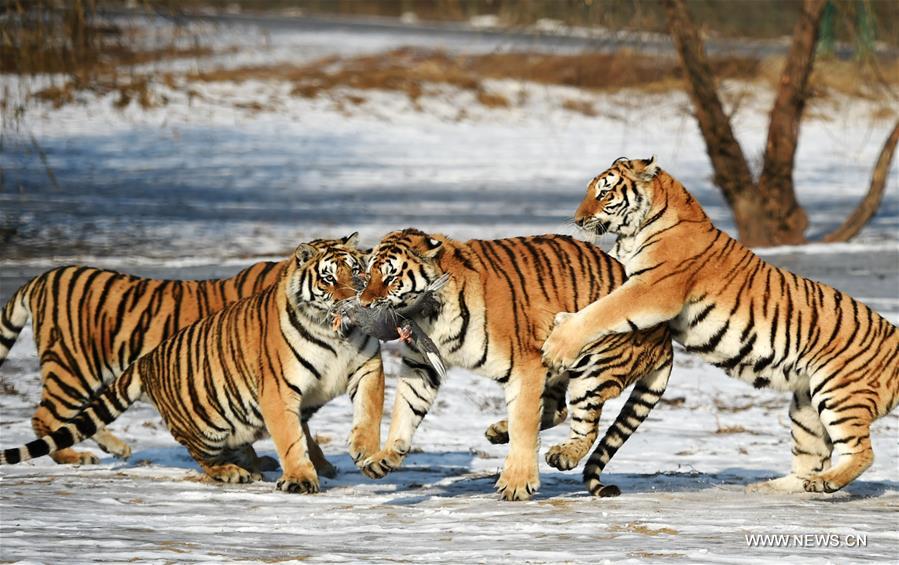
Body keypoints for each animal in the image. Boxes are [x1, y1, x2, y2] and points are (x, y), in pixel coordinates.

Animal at [1, 237, 384, 493]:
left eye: (359, 272)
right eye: (329, 278)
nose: (356, 299)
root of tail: (41, 278)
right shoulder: (274, 381)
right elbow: (295, 432)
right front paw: (310, 469)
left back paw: (117, 447)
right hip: (73, 370)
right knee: (45, 418)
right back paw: (76, 456)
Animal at [355, 228, 673, 500]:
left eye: (391, 278)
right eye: (368, 276)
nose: (364, 304)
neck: (431, 315)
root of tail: (666, 337)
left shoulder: (526, 365)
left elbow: (525, 421)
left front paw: (517, 484)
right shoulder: (421, 364)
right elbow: (405, 408)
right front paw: (384, 457)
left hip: (591, 369)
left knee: (585, 426)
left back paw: (563, 455)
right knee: (557, 410)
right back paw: (499, 431)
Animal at [542, 156, 899, 494]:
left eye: (603, 193)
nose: (578, 220)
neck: (637, 230)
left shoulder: (652, 290)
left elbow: (603, 310)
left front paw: (558, 343)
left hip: (839, 394)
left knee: (862, 452)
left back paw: (825, 483)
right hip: (806, 405)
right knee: (811, 459)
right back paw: (771, 487)